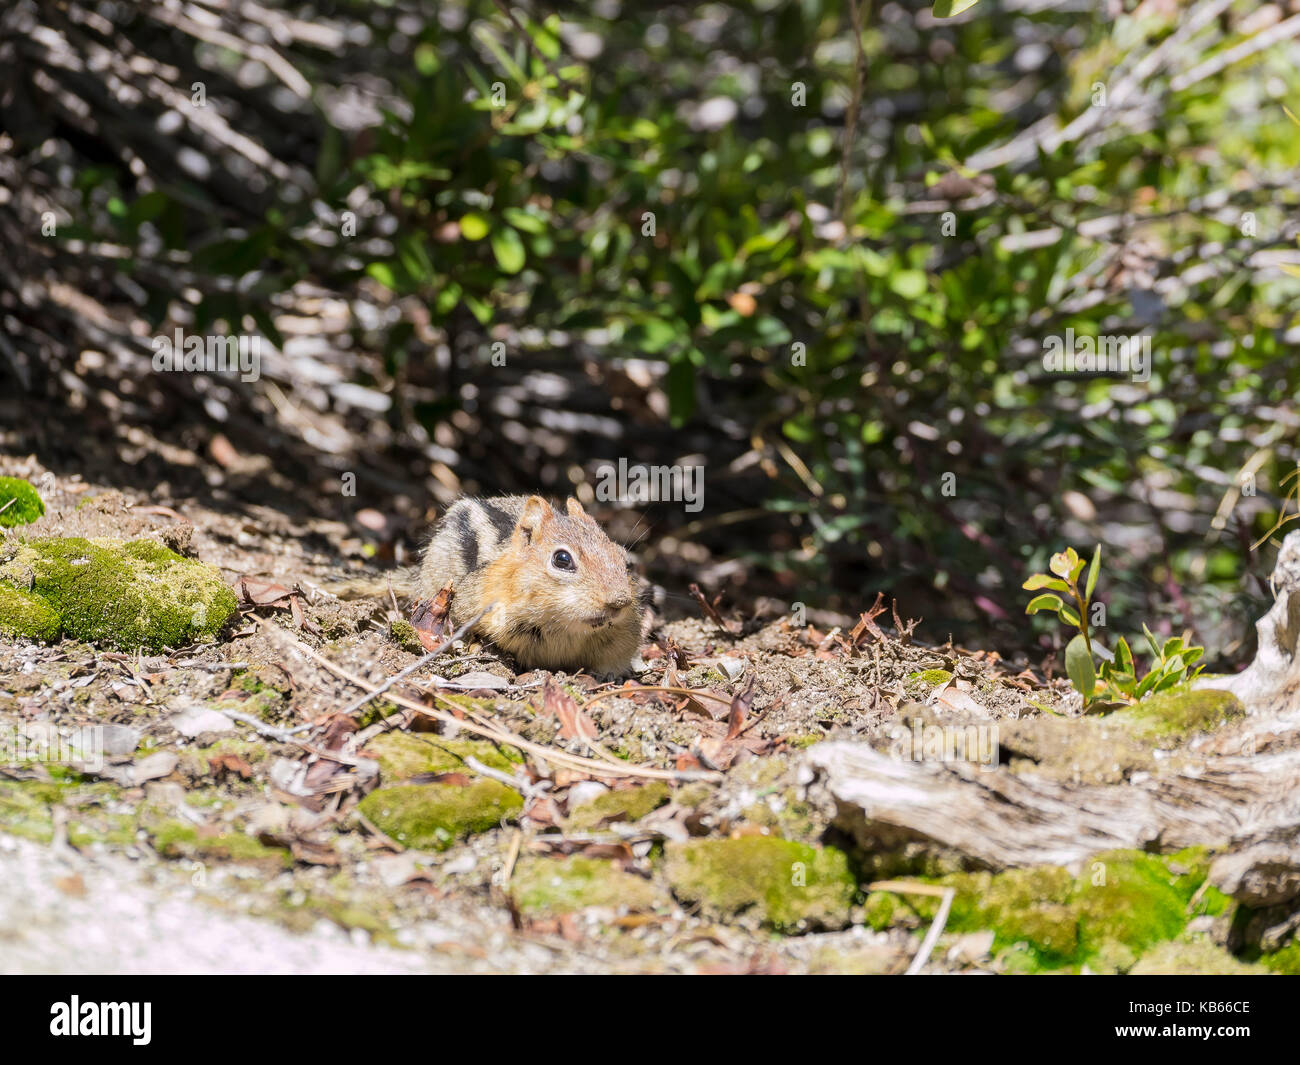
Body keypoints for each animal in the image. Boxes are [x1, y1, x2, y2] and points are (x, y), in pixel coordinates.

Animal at [333, 495, 648, 677]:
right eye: (562, 559)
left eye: (623, 558)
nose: (619, 602)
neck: (563, 626)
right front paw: (476, 646)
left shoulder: (621, 638)